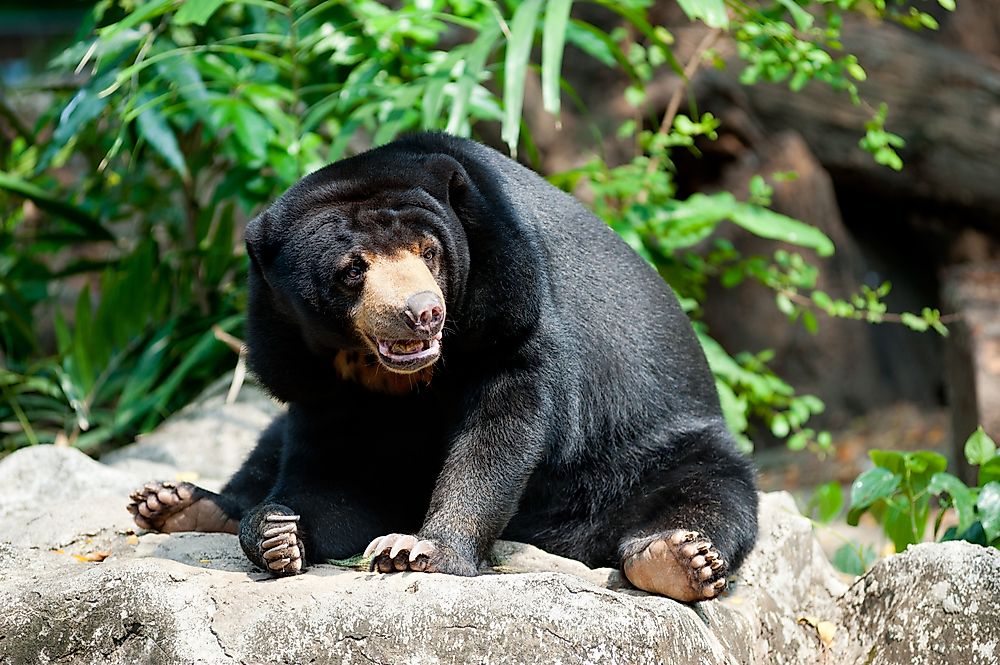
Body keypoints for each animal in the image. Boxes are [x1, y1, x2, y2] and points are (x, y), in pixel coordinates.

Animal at [128, 133, 758, 602]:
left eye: (429, 252)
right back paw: (174, 504)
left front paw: (417, 550)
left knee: (711, 493)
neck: (393, 376)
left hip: (647, 452)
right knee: (264, 449)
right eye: (352, 270)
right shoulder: (310, 373)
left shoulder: (512, 304)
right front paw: (277, 533)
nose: (423, 313)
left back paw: (675, 559)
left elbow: (500, 428)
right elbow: (332, 475)